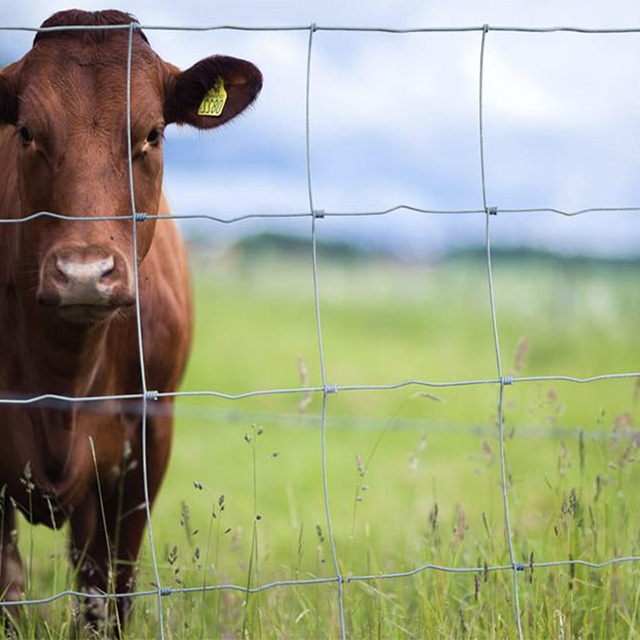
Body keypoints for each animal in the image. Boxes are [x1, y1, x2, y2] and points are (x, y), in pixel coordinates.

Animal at [0, 8, 262, 633]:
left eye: (152, 134)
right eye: (27, 132)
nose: (84, 274)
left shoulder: (146, 445)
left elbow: (108, 594)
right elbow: (9, 595)